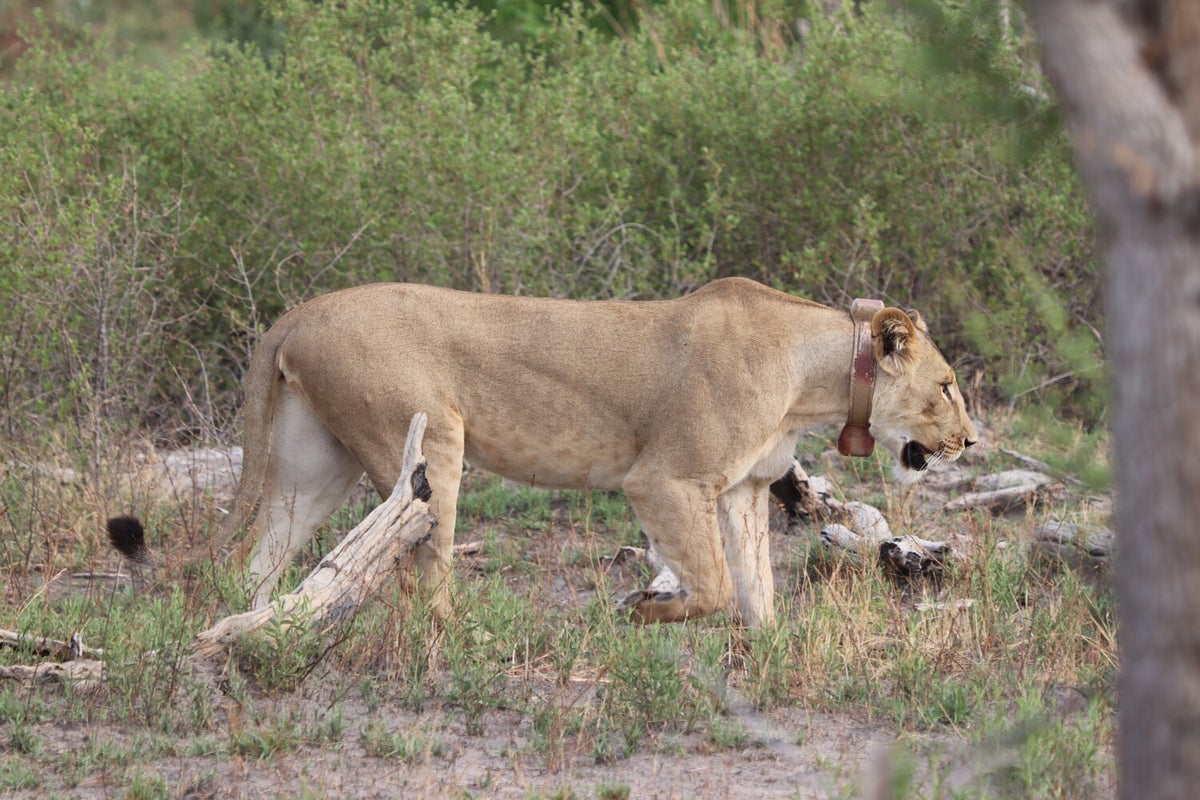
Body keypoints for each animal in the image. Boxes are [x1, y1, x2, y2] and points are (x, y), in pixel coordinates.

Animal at [113, 278, 976, 628]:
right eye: (946, 386)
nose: (972, 440)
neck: (815, 378)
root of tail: (294, 314)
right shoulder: (663, 479)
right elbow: (711, 585)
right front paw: (643, 610)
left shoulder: (740, 489)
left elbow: (756, 588)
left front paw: (769, 652)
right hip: (430, 443)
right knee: (422, 571)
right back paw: (458, 641)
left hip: (313, 464)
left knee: (253, 563)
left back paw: (257, 628)